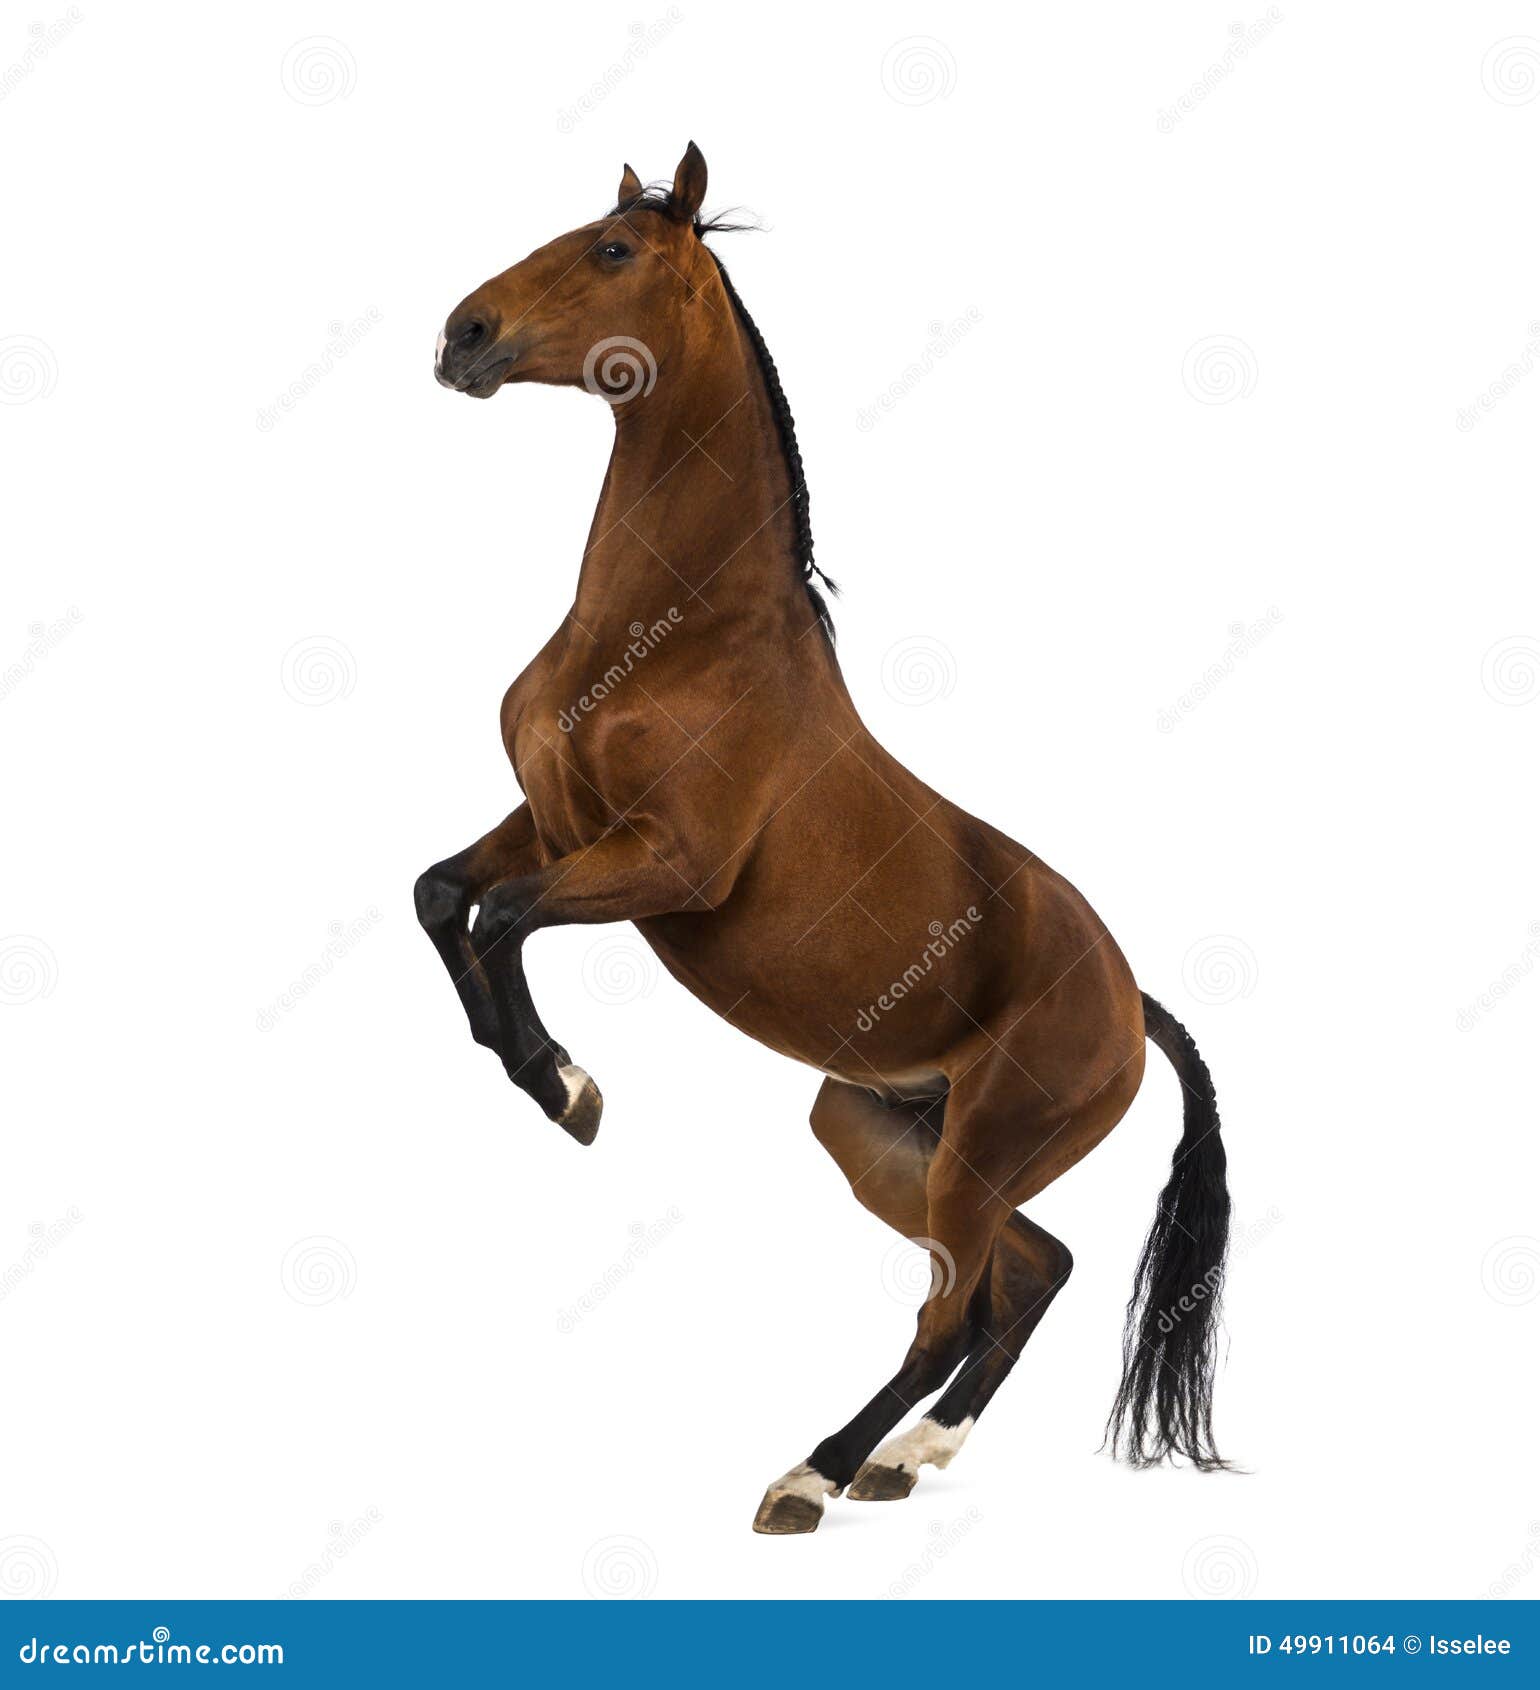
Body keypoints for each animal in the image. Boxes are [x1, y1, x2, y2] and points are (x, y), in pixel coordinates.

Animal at [416, 143, 1232, 1534]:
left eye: (612, 250)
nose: (462, 335)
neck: (672, 638)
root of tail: (1138, 1009)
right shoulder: (546, 819)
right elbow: (440, 896)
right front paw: (545, 1077)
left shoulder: (665, 867)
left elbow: (506, 916)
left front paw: (568, 1087)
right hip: (887, 1138)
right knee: (1032, 1271)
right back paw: (909, 1460)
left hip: (974, 1153)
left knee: (951, 1311)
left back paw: (815, 1473)